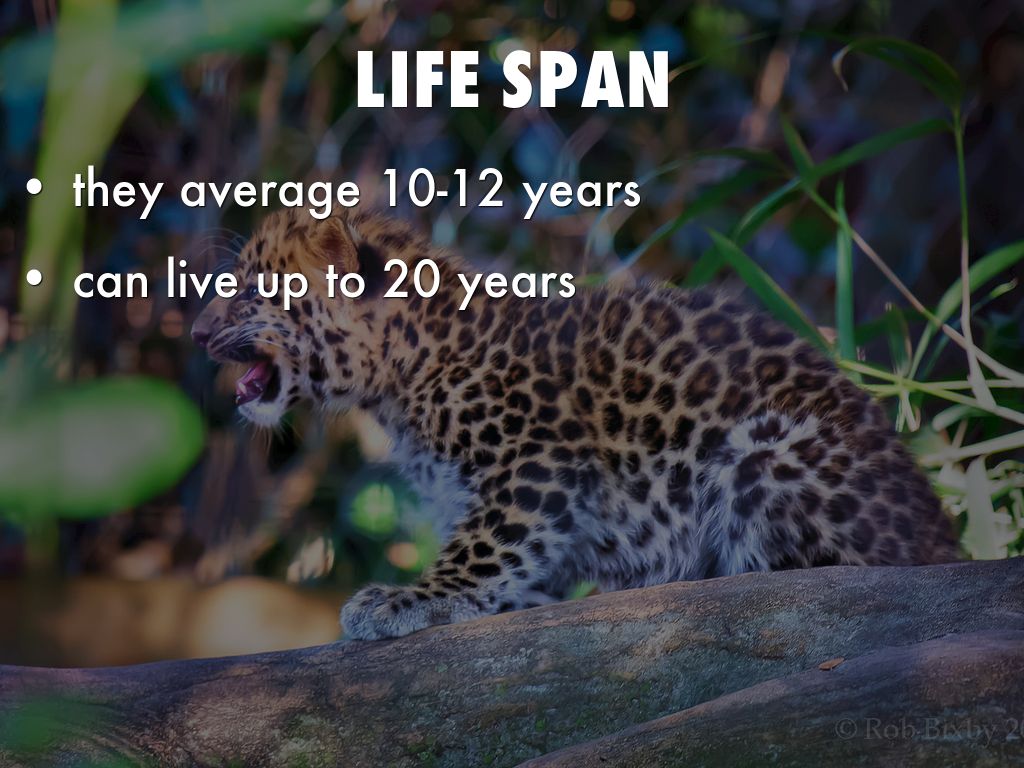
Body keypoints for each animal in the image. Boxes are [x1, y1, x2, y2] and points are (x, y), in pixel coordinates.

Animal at [191, 207, 960, 640]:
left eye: (251, 291)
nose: (195, 333)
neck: (404, 374)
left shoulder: (531, 467)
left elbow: (484, 549)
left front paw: (408, 599)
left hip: (764, 452)